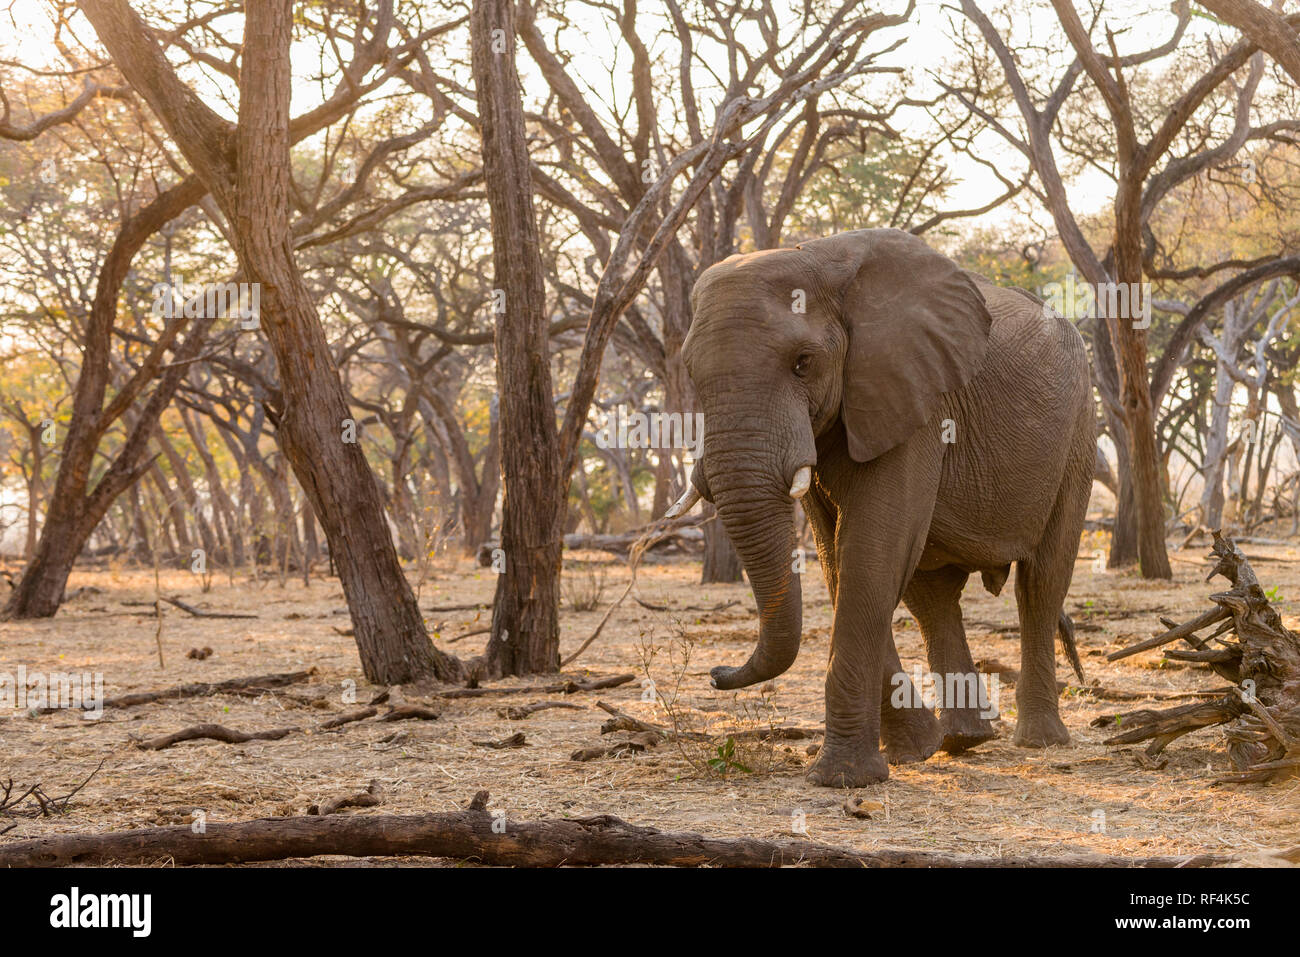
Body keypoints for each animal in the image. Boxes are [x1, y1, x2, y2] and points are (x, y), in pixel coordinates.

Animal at [668, 228, 1094, 788]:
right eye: (691, 373)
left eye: (803, 362)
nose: (717, 674)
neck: (820, 260)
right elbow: (841, 561)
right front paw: (909, 753)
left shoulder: (913, 395)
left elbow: (870, 552)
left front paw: (842, 779)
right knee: (931, 595)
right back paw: (961, 741)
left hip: (1079, 430)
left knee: (1041, 581)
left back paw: (1039, 740)